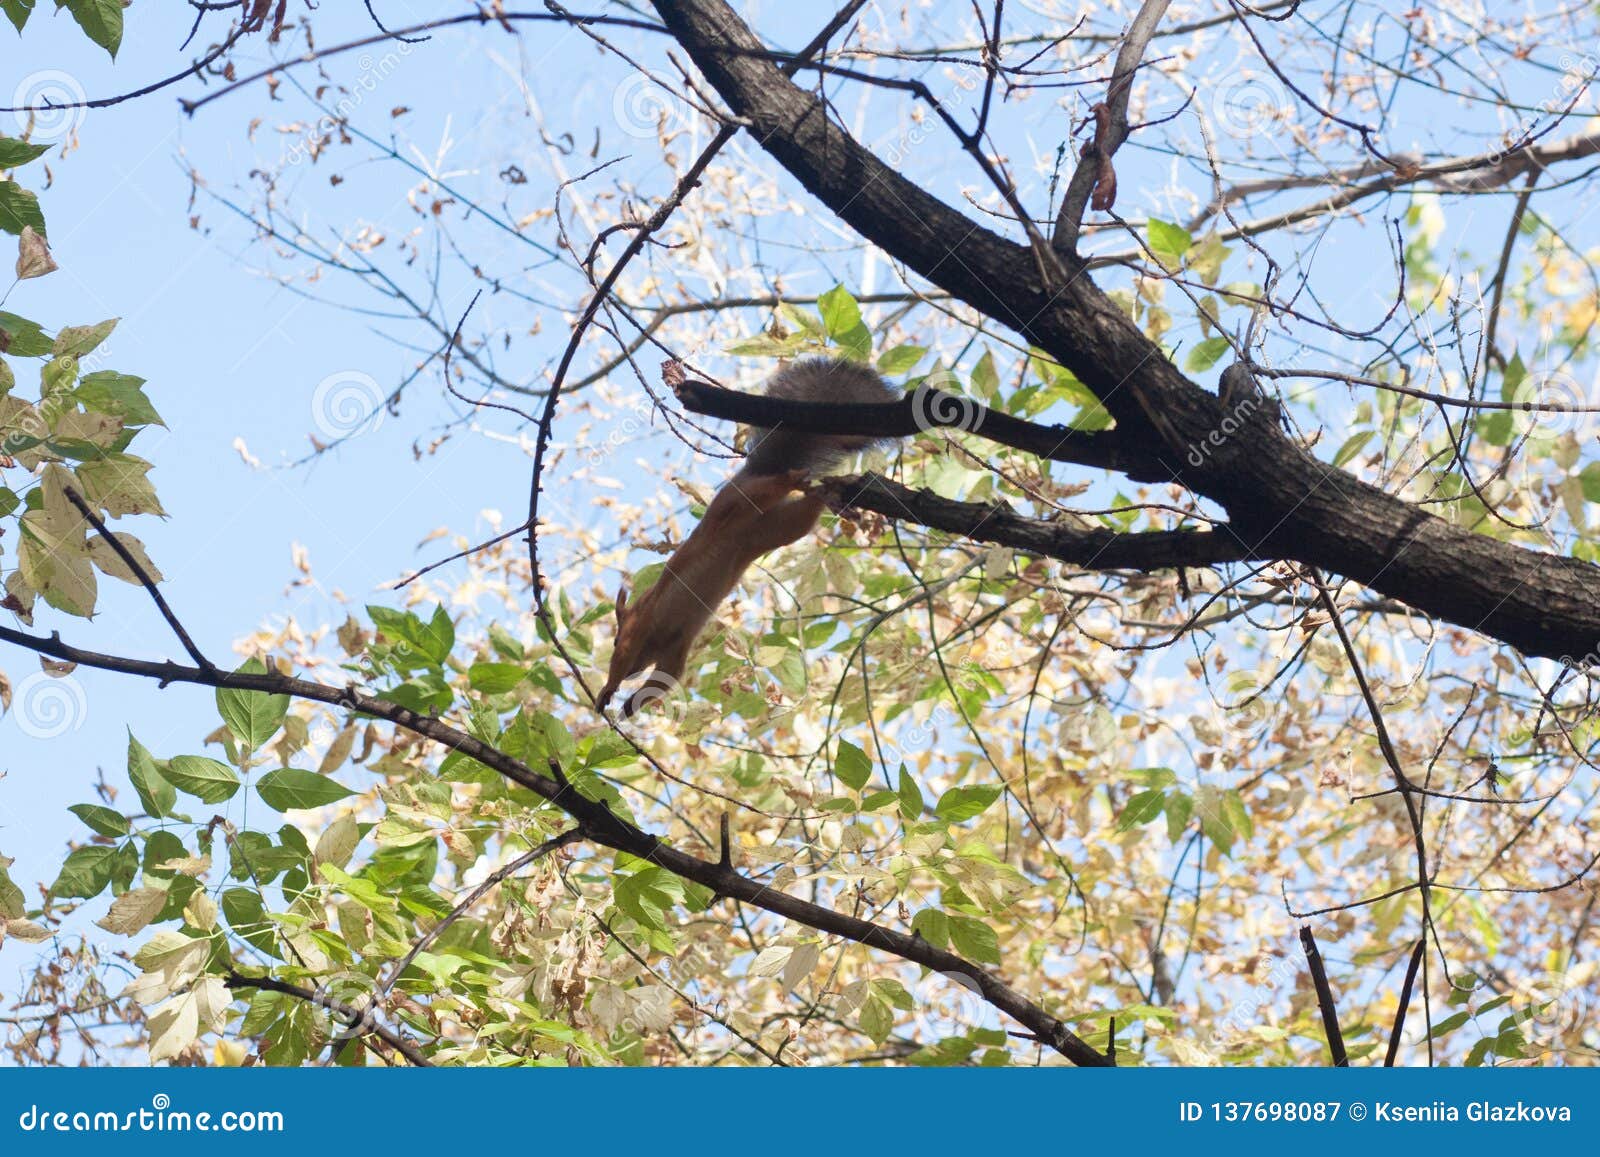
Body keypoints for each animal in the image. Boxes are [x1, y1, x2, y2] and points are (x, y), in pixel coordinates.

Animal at [598, 357, 900, 717]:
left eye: (615, 639)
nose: (631, 675)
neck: (653, 637)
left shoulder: (641, 625)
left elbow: (629, 661)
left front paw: (606, 692)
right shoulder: (675, 651)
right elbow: (666, 678)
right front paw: (630, 705)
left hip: (739, 502)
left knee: (774, 484)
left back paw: (796, 478)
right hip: (781, 527)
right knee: (803, 510)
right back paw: (827, 492)